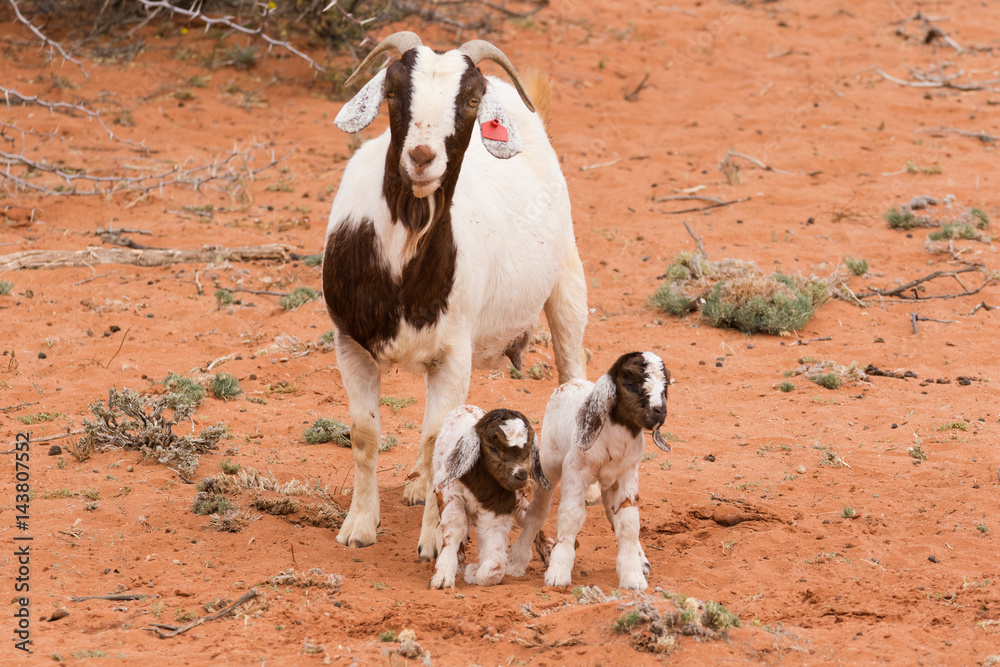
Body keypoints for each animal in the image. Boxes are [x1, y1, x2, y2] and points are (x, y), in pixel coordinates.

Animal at [322, 32, 588, 560]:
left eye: (470, 99)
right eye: (392, 92)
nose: (423, 156)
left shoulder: (454, 354)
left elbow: (434, 440)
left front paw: (432, 541)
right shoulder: (350, 343)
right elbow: (365, 433)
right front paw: (359, 526)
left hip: (567, 282)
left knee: (571, 375)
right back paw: (416, 485)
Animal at [429, 406, 549, 588]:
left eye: (529, 448)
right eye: (492, 448)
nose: (521, 475)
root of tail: (466, 407)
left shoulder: (498, 506)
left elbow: (493, 568)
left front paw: (473, 573)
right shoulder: (450, 493)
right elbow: (456, 526)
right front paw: (443, 576)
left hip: (518, 499)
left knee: (527, 516)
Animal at [507, 351, 671, 591]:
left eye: (665, 385)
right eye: (630, 381)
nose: (660, 411)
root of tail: (569, 383)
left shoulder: (627, 475)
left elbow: (628, 521)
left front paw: (633, 576)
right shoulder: (576, 471)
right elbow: (570, 516)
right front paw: (558, 573)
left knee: (612, 514)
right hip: (548, 465)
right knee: (537, 512)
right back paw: (516, 562)